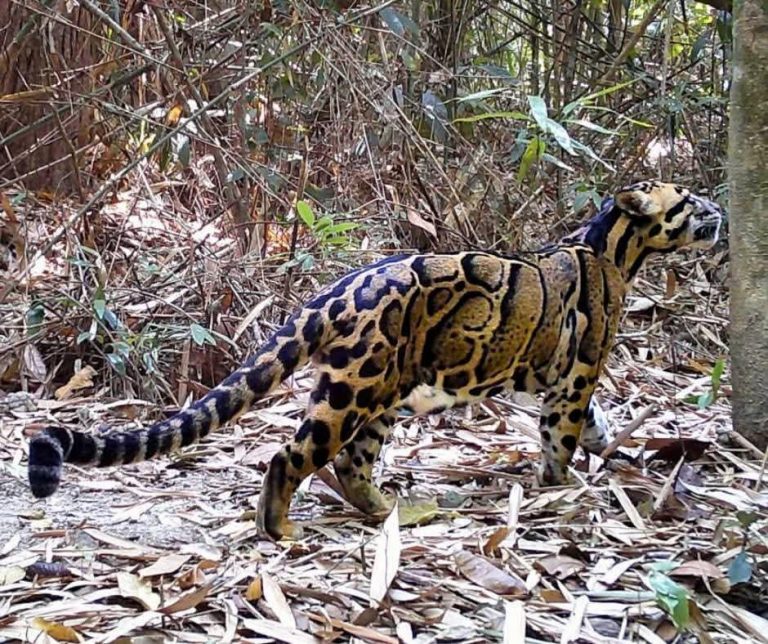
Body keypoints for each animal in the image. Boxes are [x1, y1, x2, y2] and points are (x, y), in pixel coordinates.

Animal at [27, 181, 722, 541]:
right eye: (688, 202)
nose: (719, 210)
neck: (613, 245)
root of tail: (334, 291)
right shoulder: (576, 373)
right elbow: (564, 435)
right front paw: (561, 487)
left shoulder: (553, 378)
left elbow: (594, 425)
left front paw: (610, 455)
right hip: (353, 389)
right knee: (290, 456)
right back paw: (280, 530)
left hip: (384, 391)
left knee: (352, 463)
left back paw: (387, 509)